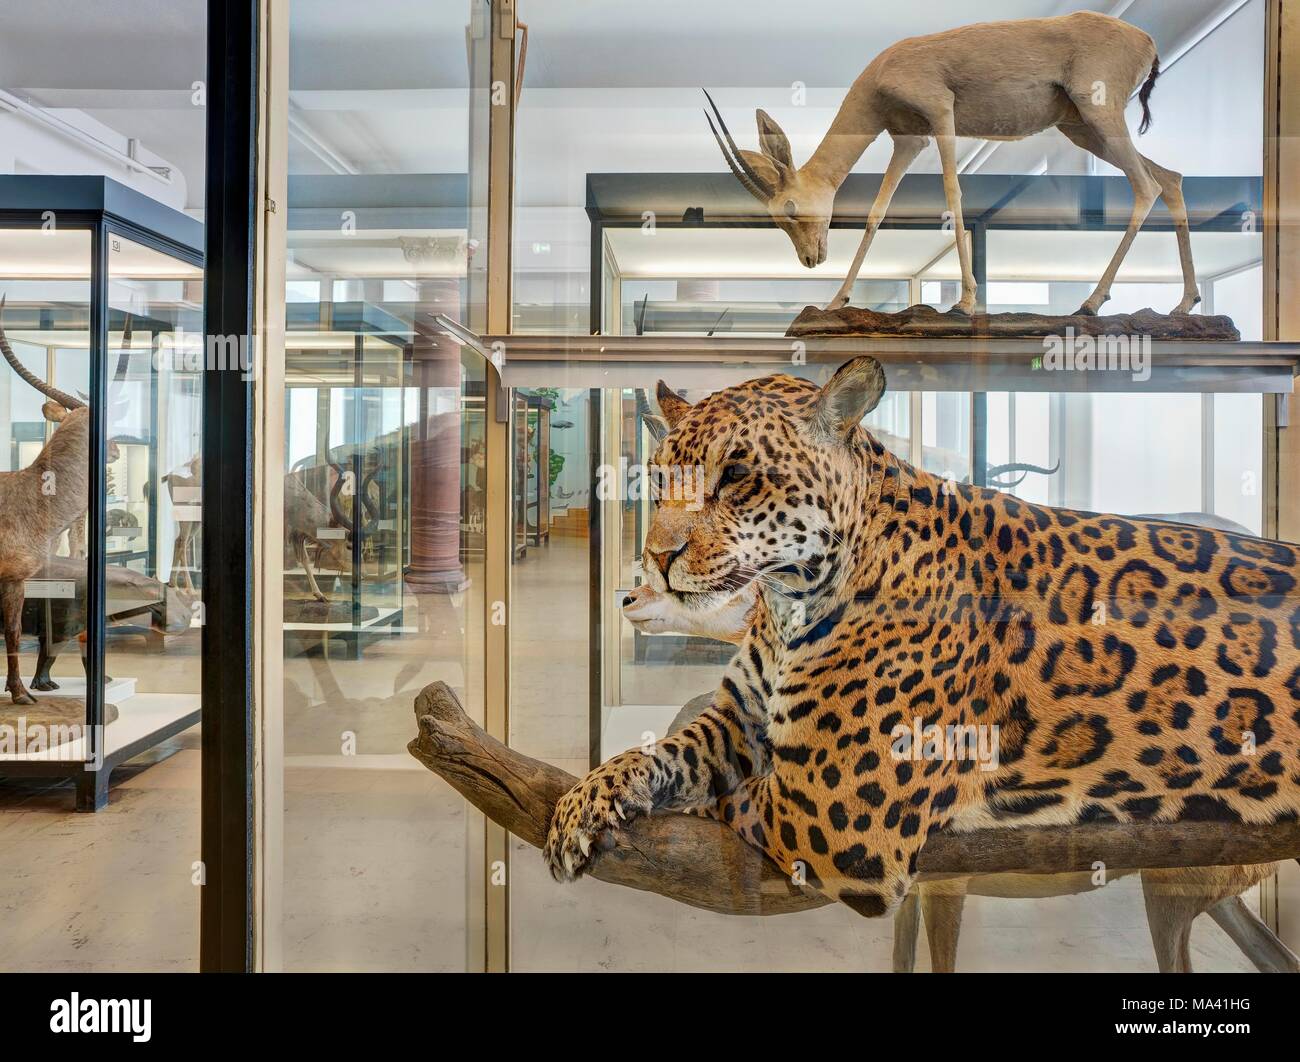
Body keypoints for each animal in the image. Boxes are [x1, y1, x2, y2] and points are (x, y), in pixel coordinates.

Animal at [543, 357, 1300, 918]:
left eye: (736, 476)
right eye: (660, 475)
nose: (656, 559)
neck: (788, 605)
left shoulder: (826, 809)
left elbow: (724, 798)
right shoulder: (738, 717)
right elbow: (660, 750)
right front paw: (577, 810)